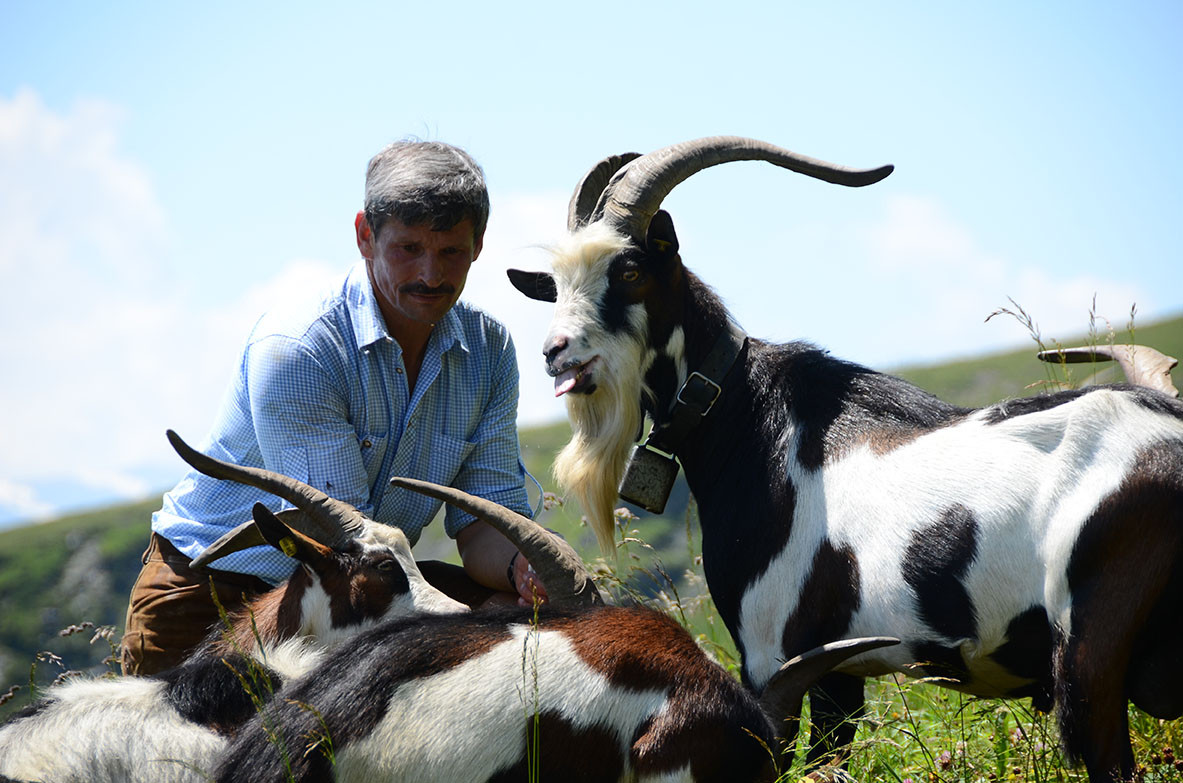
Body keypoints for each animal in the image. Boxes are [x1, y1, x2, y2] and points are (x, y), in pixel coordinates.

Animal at [507, 136, 1183, 783]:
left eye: (628, 270)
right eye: (555, 285)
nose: (554, 352)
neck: (758, 427)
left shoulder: (772, 654)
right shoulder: (836, 668)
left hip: (1088, 655)